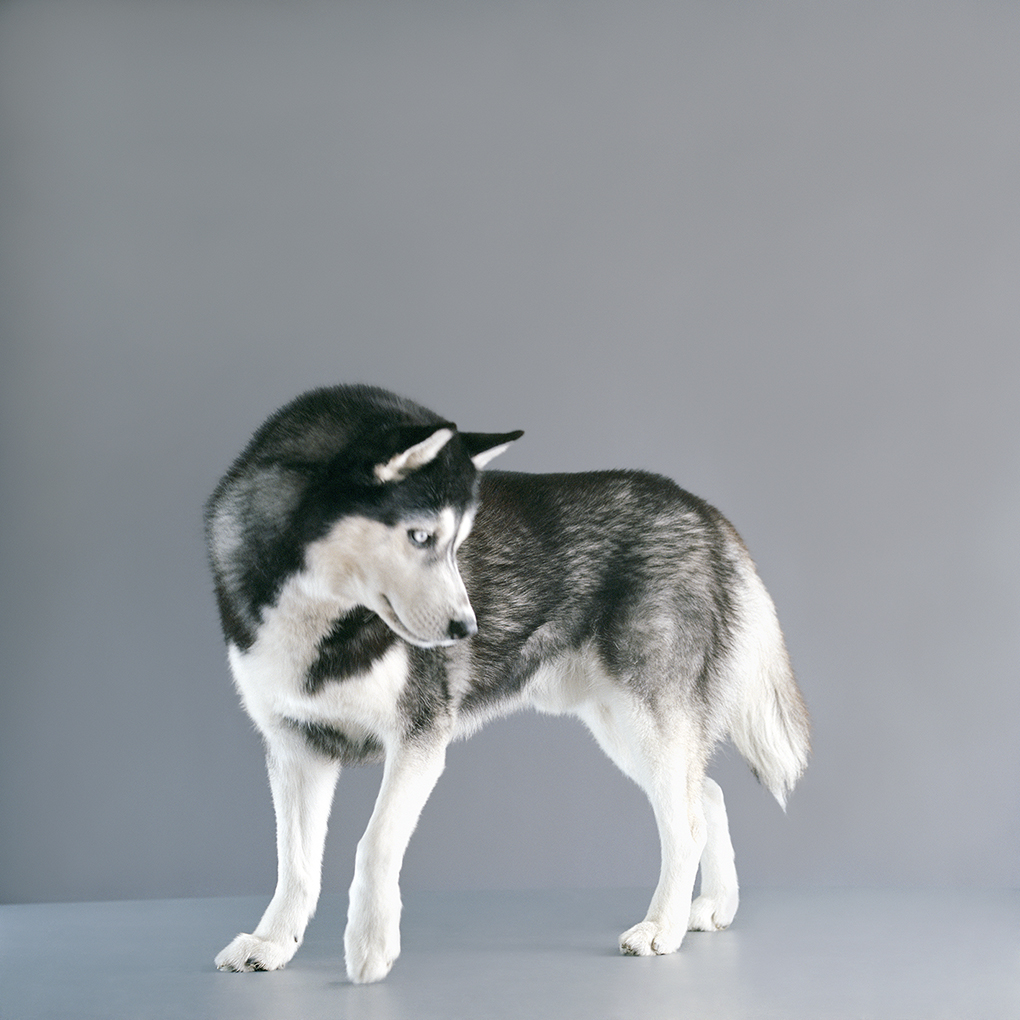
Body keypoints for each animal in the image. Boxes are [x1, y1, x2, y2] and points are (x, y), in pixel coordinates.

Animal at [205, 383, 809, 984]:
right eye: (421, 537)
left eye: (457, 542)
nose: (466, 629)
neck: (323, 621)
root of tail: (702, 509)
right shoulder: (295, 748)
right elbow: (295, 865)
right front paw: (273, 942)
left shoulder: (420, 736)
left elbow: (374, 843)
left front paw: (370, 946)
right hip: (625, 728)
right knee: (706, 795)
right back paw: (712, 907)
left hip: (648, 719)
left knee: (684, 823)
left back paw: (663, 926)